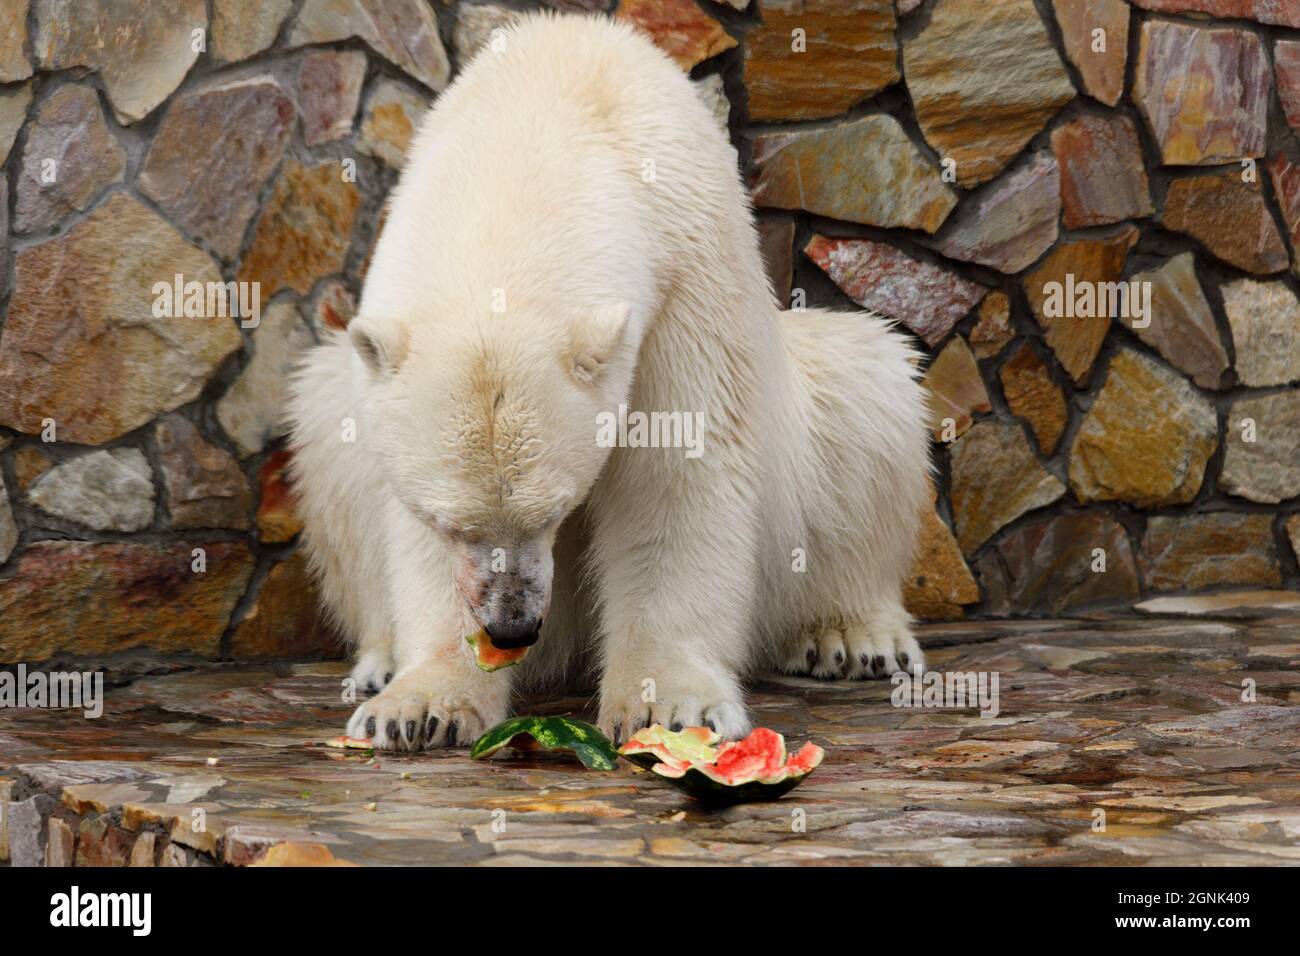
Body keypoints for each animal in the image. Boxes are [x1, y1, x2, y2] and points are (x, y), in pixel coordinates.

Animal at [287, 13, 931, 751]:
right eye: (448, 521)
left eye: (558, 509)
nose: (512, 626)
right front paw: (420, 706)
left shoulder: (681, 276)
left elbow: (677, 473)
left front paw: (668, 706)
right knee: (329, 429)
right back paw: (380, 661)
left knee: (863, 392)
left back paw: (853, 635)